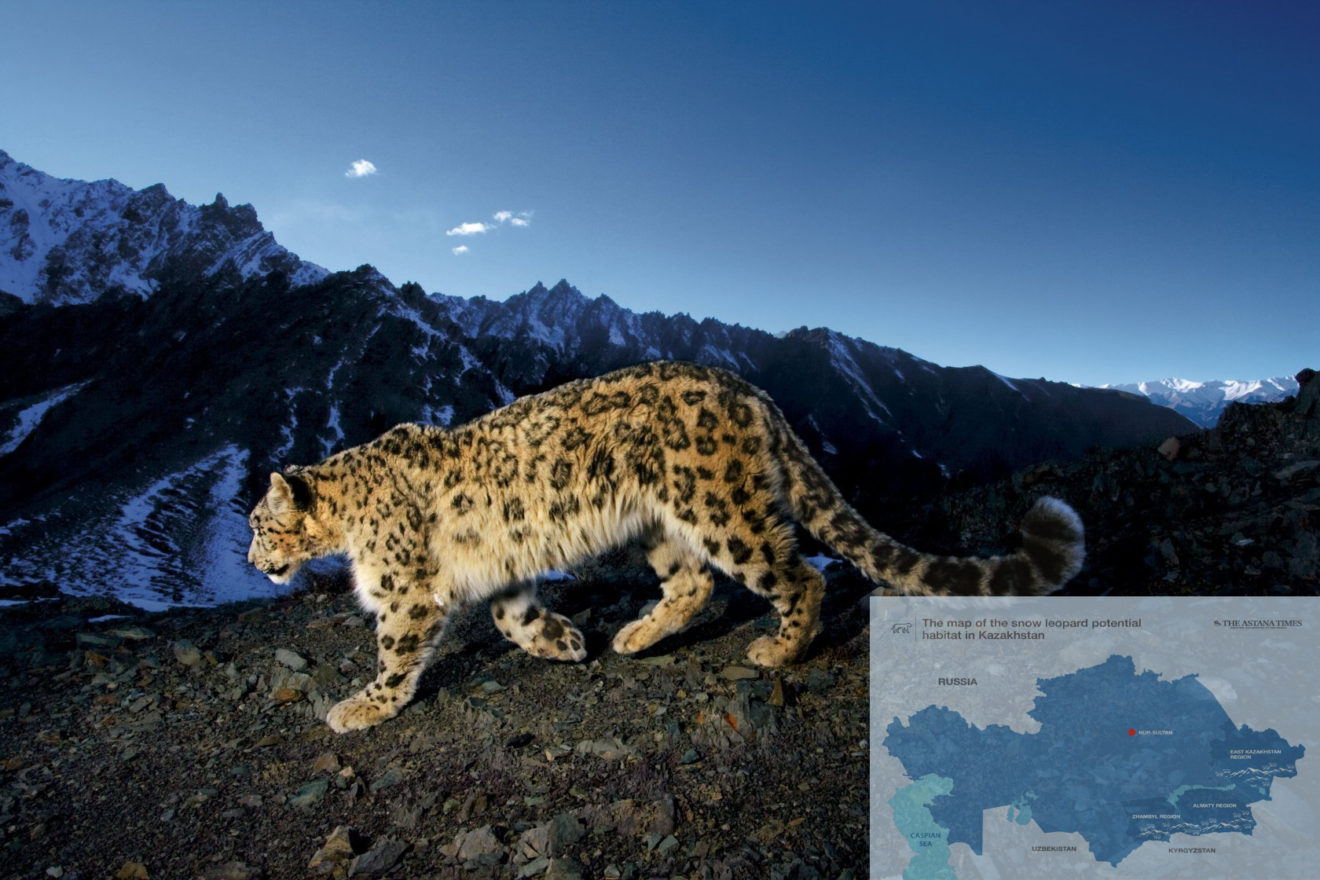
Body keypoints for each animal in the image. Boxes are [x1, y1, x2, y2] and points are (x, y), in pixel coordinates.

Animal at [247, 360, 1084, 732]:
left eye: (257, 523)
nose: (253, 561)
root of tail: (751, 391)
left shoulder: (404, 592)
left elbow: (396, 652)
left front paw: (361, 706)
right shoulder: (503, 572)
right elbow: (513, 617)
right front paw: (563, 642)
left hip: (721, 509)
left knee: (797, 576)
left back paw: (776, 650)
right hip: (660, 524)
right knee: (694, 584)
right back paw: (632, 636)